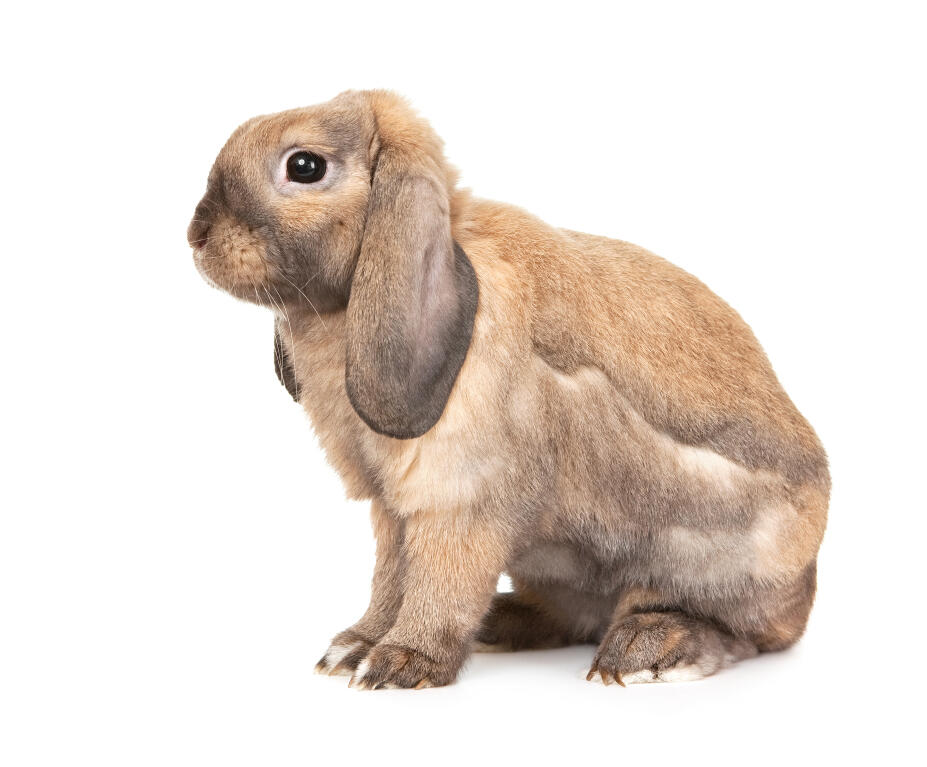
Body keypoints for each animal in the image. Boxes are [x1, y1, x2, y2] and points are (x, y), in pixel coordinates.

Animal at [188, 90, 829, 689]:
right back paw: (502, 623)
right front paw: (354, 647)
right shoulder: (392, 509)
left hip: (714, 559)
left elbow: (440, 582)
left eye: (304, 166)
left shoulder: (460, 501)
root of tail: (808, 576)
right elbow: (391, 576)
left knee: (742, 629)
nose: (195, 234)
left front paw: (400, 662)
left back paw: (649, 648)